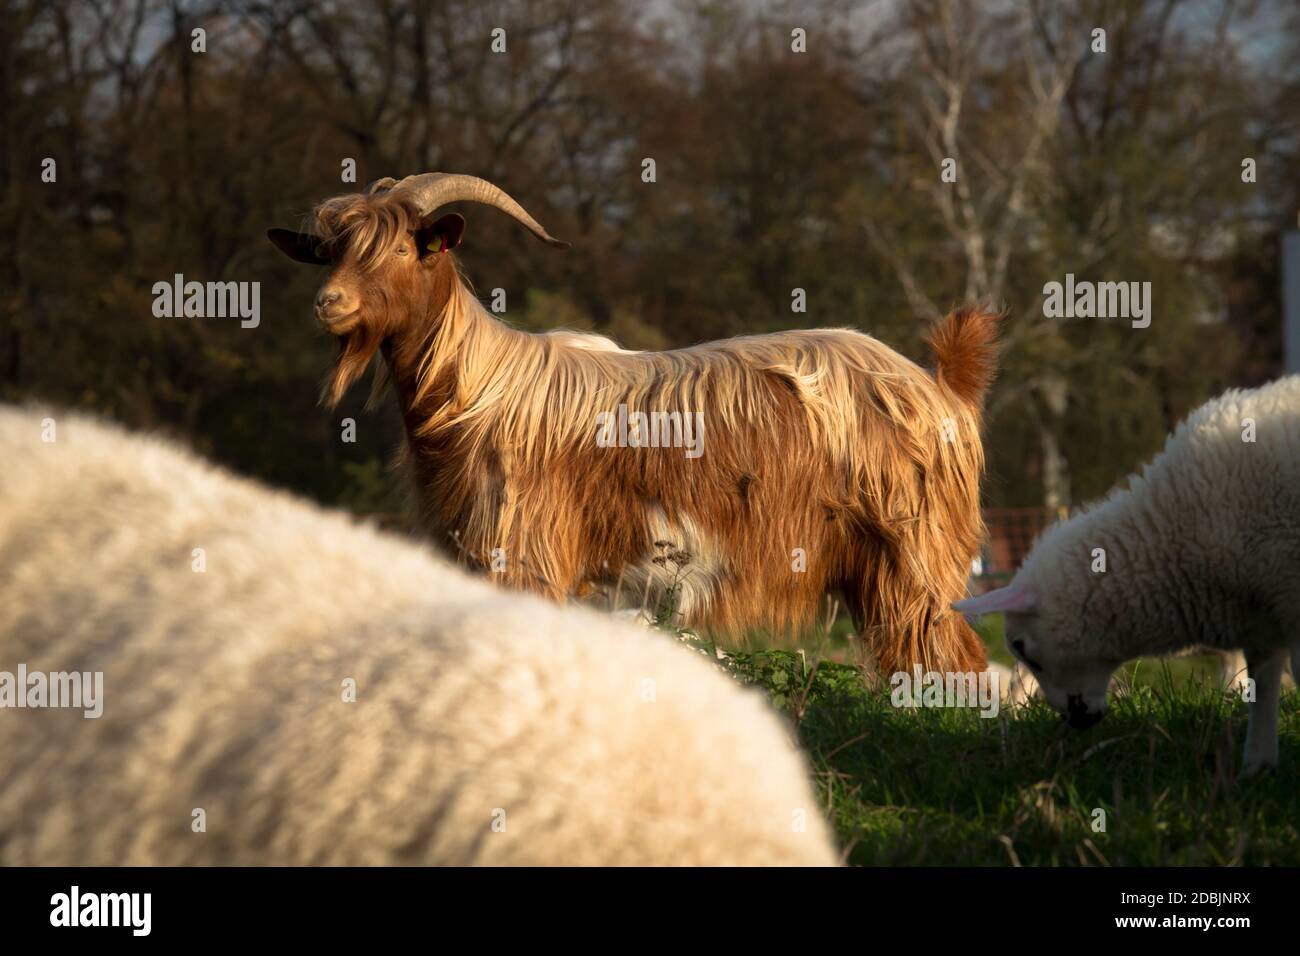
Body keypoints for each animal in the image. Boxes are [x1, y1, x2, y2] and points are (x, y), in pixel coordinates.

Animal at [263, 175, 993, 676]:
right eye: (335, 250)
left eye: (403, 250)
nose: (329, 303)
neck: (476, 391)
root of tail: (941, 386)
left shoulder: (524, 554)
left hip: (917, 557)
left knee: (953, 658)